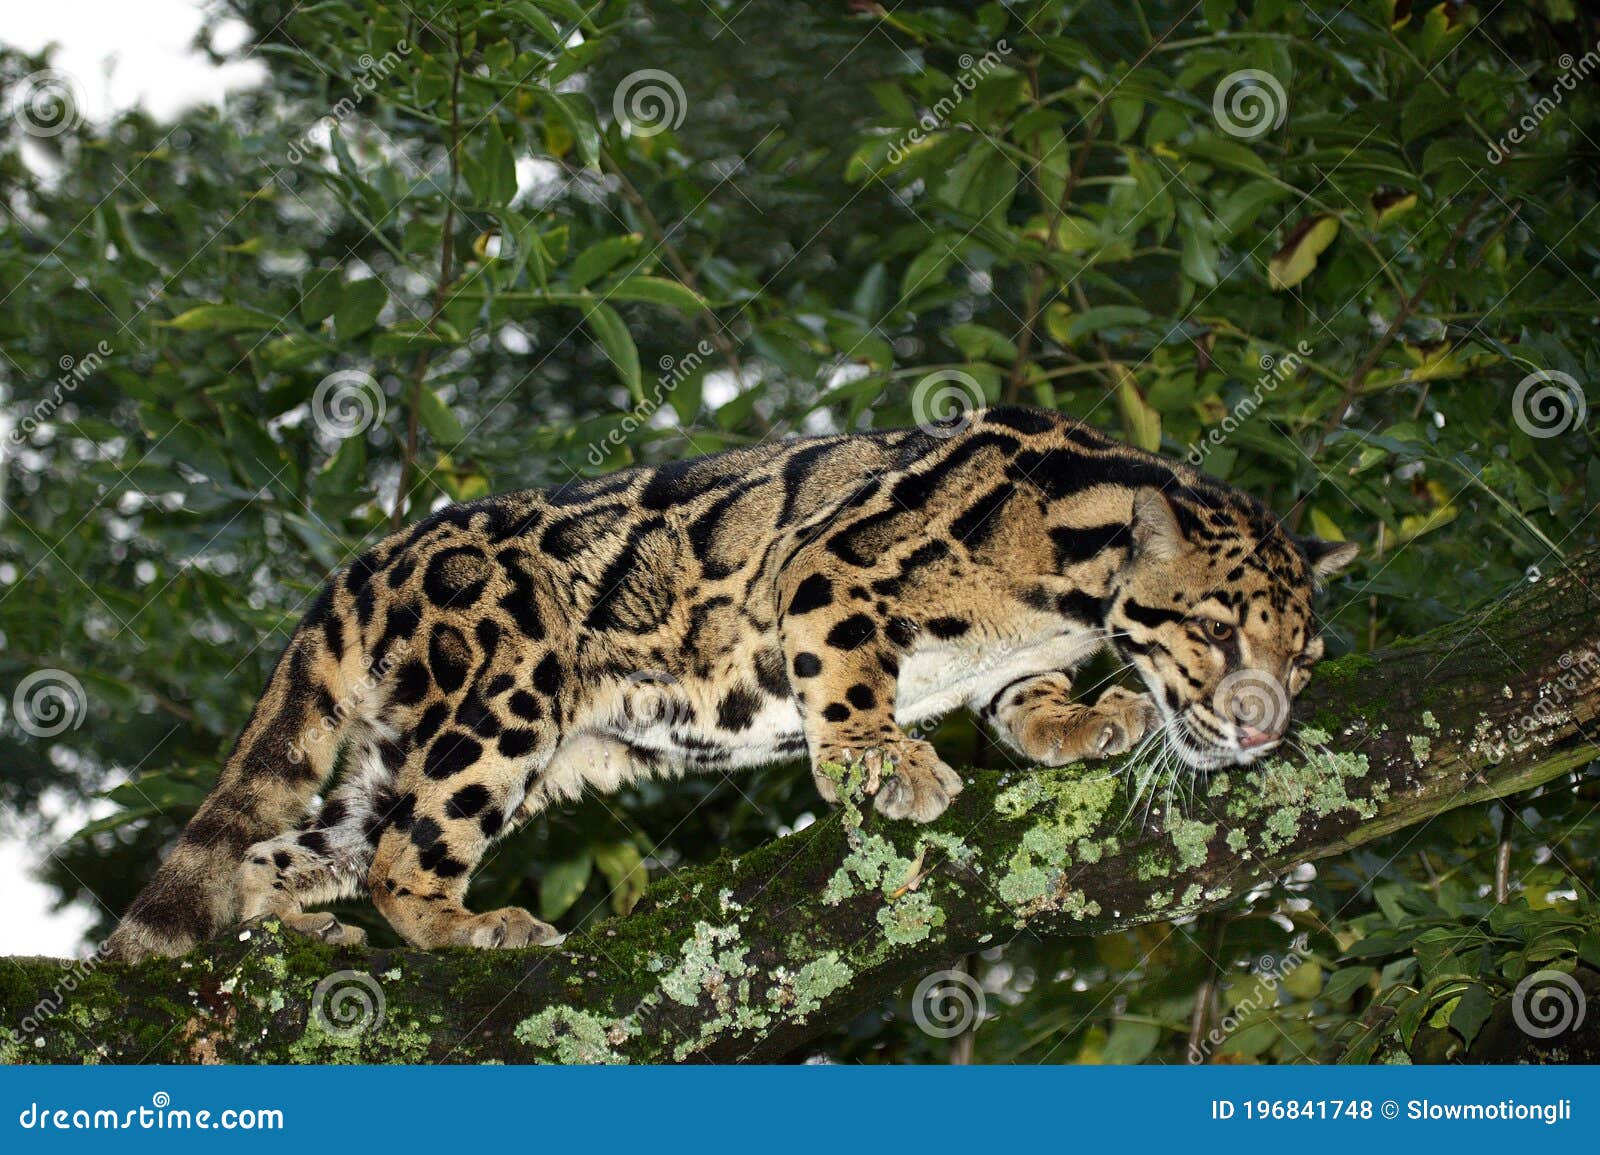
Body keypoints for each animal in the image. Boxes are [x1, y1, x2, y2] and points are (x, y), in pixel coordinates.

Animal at [106, 404, 1356, 961]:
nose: (1260, 732)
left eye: (1300, 660)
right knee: (401, 861)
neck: (1072, 567)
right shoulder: (831, 565)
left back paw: (283, 926)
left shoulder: (1013, 652)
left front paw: (1080, 719)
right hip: (502, 697)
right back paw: (469, 926)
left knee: (295, 847)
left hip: (404, 751)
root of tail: (368, 561)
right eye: (1215, 633)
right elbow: (845, 676)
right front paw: (876, 763)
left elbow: (1020, 699)